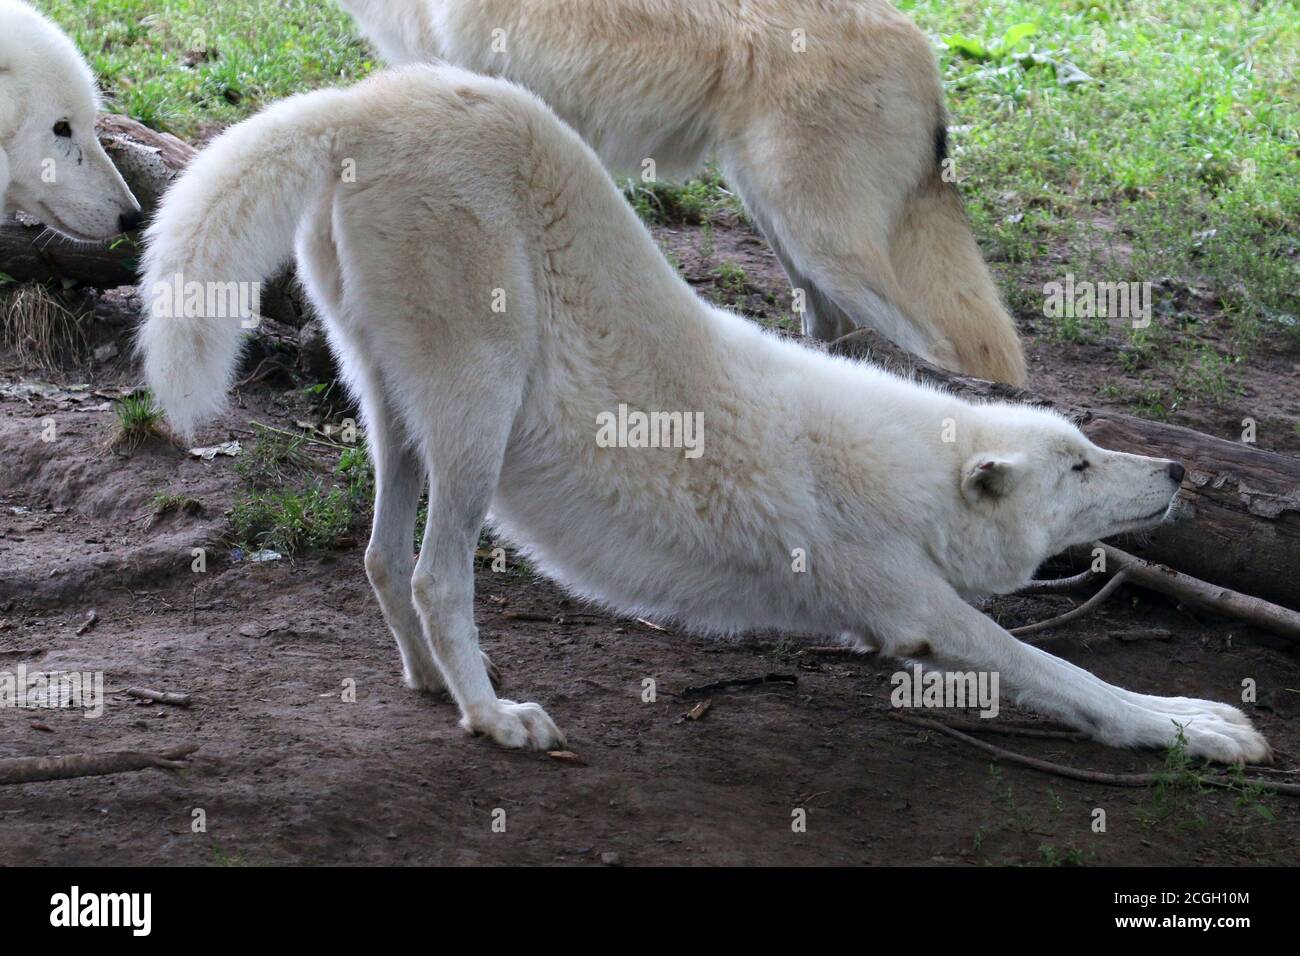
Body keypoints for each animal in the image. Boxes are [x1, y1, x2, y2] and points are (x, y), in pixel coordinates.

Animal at [138, 66, 1268, 763]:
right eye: (1078, 467)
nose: (1178, 473)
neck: (896, 477)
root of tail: (360, 101)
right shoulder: (919, 616)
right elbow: (1066, 673)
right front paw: (1198, 732)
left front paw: (1198, 714)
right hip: (475, 416)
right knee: (430, 573)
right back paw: (492, 716)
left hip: (395, 411)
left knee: (379, 559)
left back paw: (429, 685)